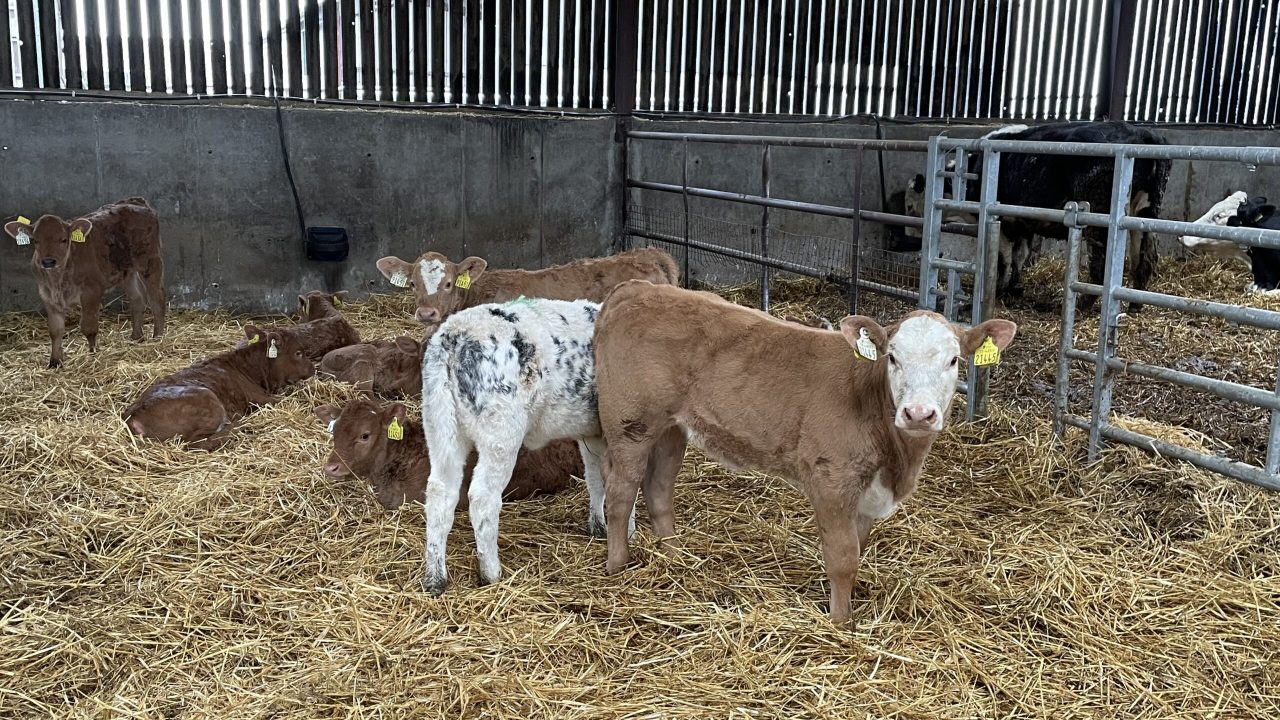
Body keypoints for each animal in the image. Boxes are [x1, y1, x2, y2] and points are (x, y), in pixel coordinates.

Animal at [4, 197, 167, 368]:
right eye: (35, 241)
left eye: (64, 240)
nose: (48, 261)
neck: (58, 280)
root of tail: (136, 201)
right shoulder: (46, 294)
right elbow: (55, 330)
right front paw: (55, 361)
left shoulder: (92, 290)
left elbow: (88, 327)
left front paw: (93, 354)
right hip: (127, 270)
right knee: (137, 299)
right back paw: (136, 337)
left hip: (151, 261)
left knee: (157, 299)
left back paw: (157, 337)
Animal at [123, 325, 315, 449]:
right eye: (298, 353)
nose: (313, 368)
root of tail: (131, 415)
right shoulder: (262, 399)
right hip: (207, 399)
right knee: (196, 443)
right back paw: (241, 426)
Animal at [417, 297, 637, 595]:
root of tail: (453, 337)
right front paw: (629, 534)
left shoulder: (593, 433)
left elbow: (596, 479)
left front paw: (600, 527)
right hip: (501, 430)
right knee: (482, 498)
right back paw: (491, 574)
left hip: (439, 424)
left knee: (441, 492)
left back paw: (435, 579)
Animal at [592, 280, 1017, 623]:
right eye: (892, 357)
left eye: (954, 360)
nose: (918, 413)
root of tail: (636, 289)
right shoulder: (831, 479)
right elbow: (843, 556)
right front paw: (841, 623)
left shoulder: (866, 493)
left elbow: (857, 547)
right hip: (631, 424)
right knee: (620, 493)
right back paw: (617, 566)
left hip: (671, 428)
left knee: (658, 488)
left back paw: (676, 557)